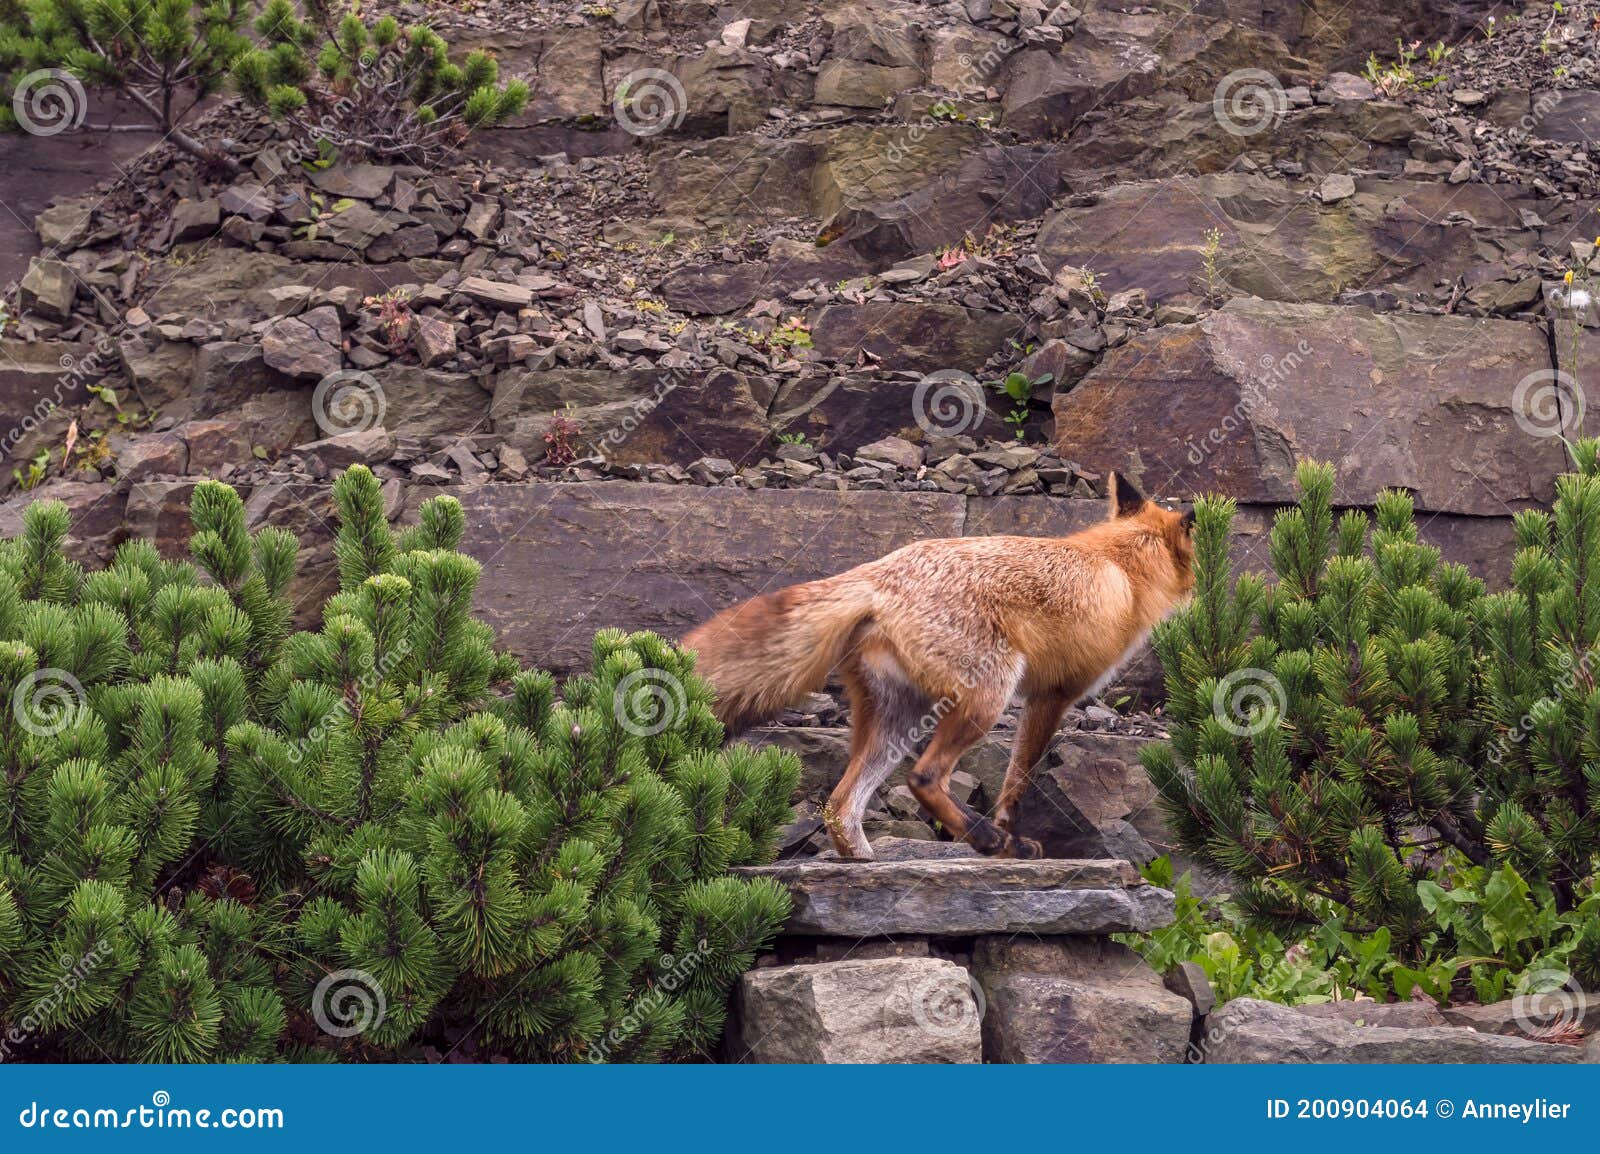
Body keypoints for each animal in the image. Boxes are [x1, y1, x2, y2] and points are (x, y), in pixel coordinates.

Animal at [683, 473, 1197, 861]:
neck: (1121, 565)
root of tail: (880, 571)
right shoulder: (1053, 695)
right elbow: (1018, 783)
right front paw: (1011, 840)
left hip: (896, 718)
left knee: (840, 805)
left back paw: (863, 861)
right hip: (987, 696)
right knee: (924, 778)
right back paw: (986, 840)